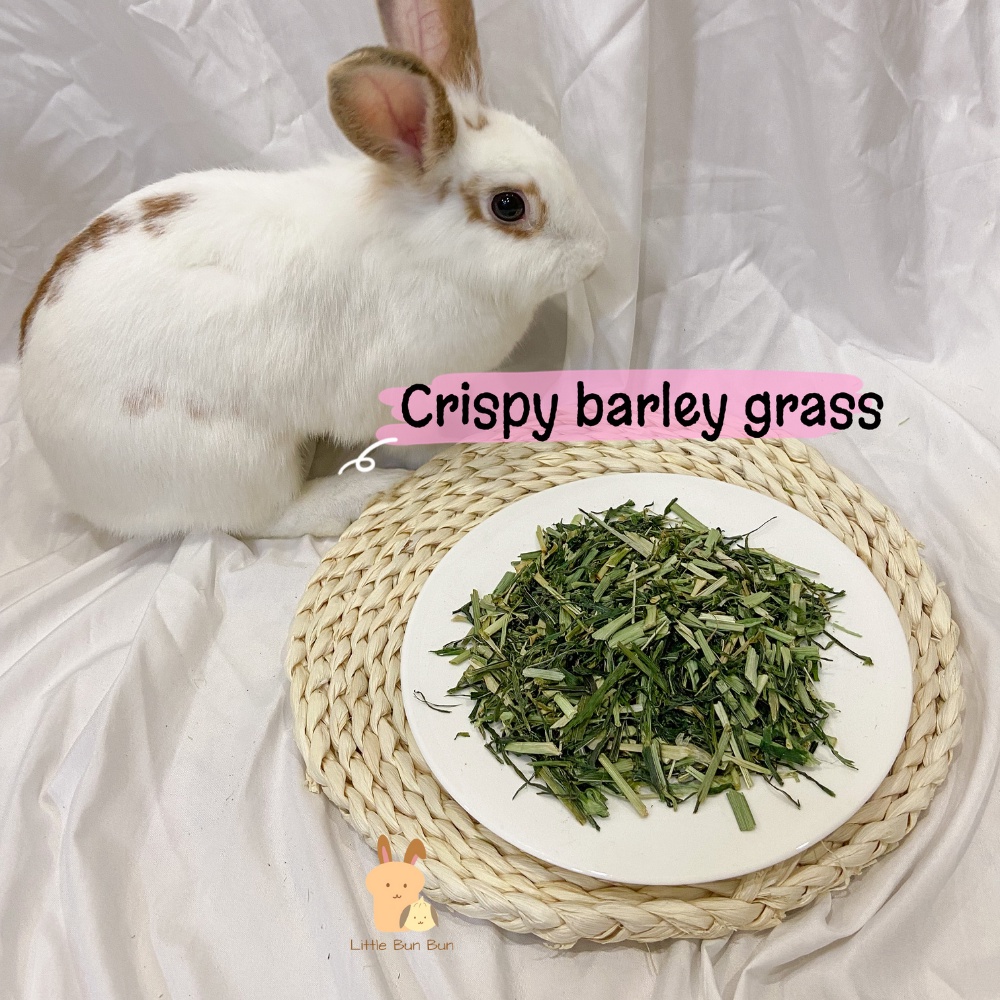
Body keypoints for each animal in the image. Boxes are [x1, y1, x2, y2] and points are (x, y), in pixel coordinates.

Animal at [17, 0, 607, 539]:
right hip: (232, 456)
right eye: (509, 206)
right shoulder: (394, 390)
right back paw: (352, 495)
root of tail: (64, 476)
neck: (425, 254)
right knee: (264, 518)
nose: (596, 257)